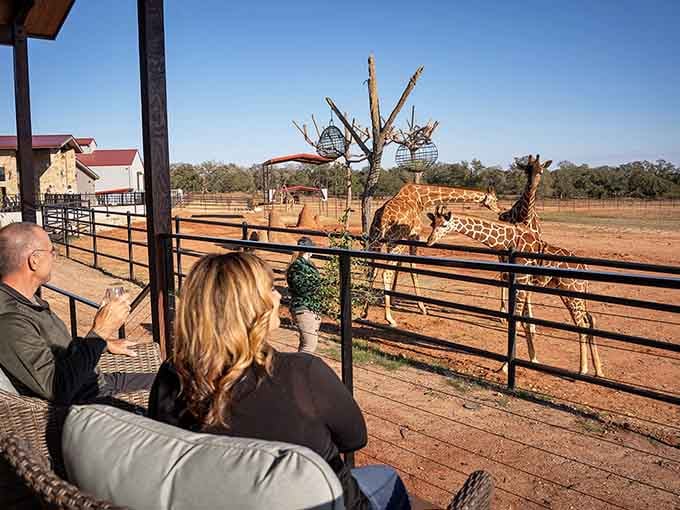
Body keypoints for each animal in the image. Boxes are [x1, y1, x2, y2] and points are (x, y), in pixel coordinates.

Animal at [363, 183, 500, 327]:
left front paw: (394, 300)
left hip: (376, 240)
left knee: (372, 270)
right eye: (495, 199)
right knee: (385, 273)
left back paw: (365, 311)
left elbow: (399, 266)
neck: (422, 199)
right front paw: (422, 308)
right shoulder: (414, 235)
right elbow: (413, 268)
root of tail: (383, 218)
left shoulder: (406, 239)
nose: (499, 210)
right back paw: (389, 318)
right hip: (393, 241)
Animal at [426, 207, 604, 377]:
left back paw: (583, 370)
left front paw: (505, 366)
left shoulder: (521, 281)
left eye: (444, 225)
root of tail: (585, 268)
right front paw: (533, 359)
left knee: (581, 325)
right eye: (432, 224)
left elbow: (516, 321)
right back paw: (598, 370)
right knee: (590, 320)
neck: (508, 240)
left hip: (571, 293)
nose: (429, 241)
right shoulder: (521, 284)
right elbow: (525, 321)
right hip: (575, 294)